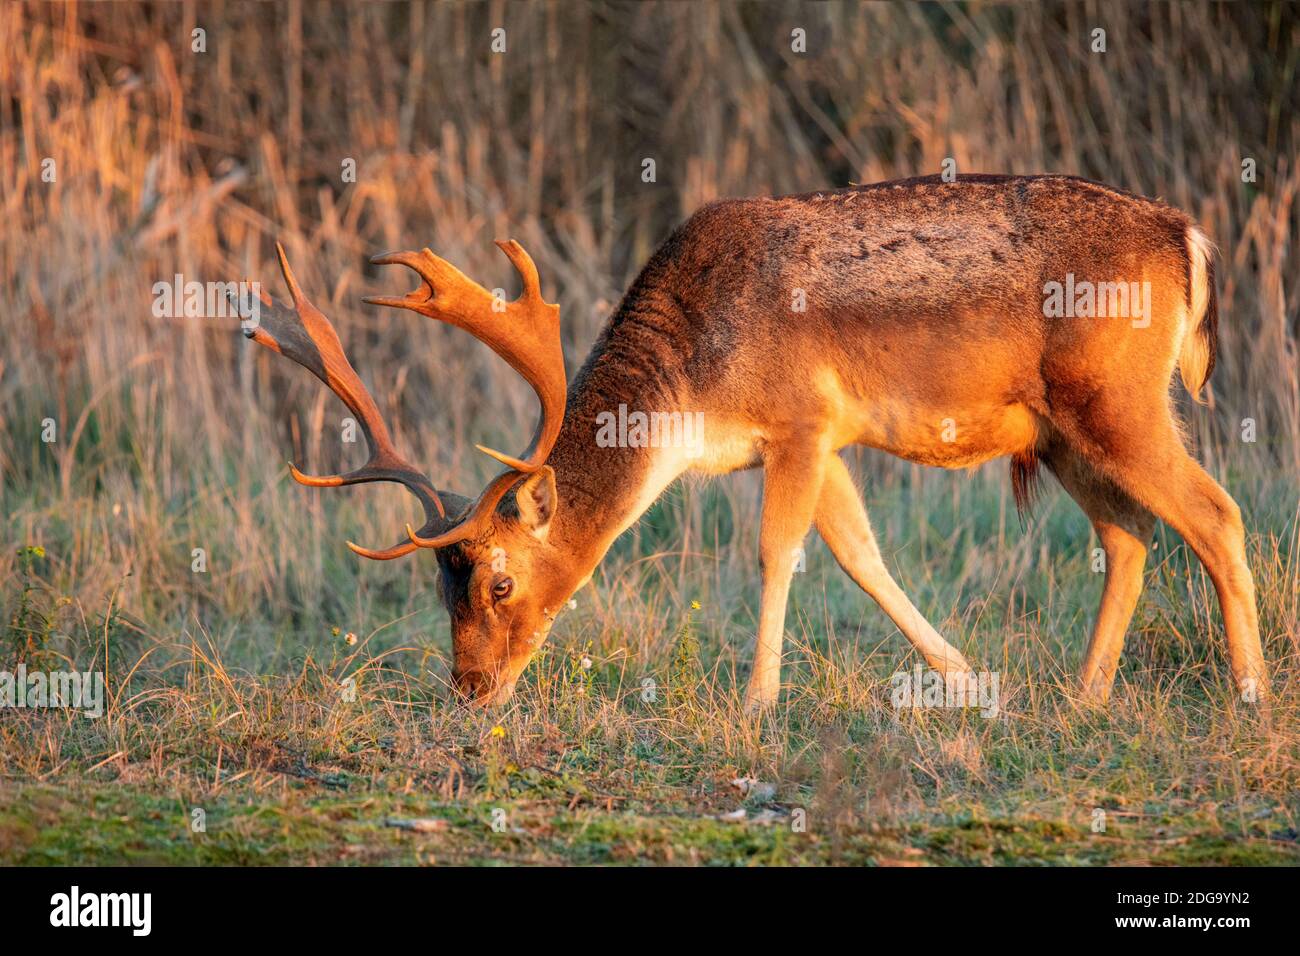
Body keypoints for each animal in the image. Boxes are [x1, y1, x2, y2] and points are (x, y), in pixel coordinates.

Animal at [239, 173, 1268, 711]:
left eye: (497, 580)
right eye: (437, 582)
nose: (470, 686)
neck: (695, 390)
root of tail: (1188, 236)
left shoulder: (802, 419)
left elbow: (780, 553)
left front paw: (759, 702)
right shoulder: (826, 440)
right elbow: (860, 553)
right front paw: (971, 680)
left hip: (1117, 401)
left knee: (1217, 512)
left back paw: (1251, 694)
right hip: (1059, 429)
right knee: (1130, 534)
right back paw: (1085, 695)